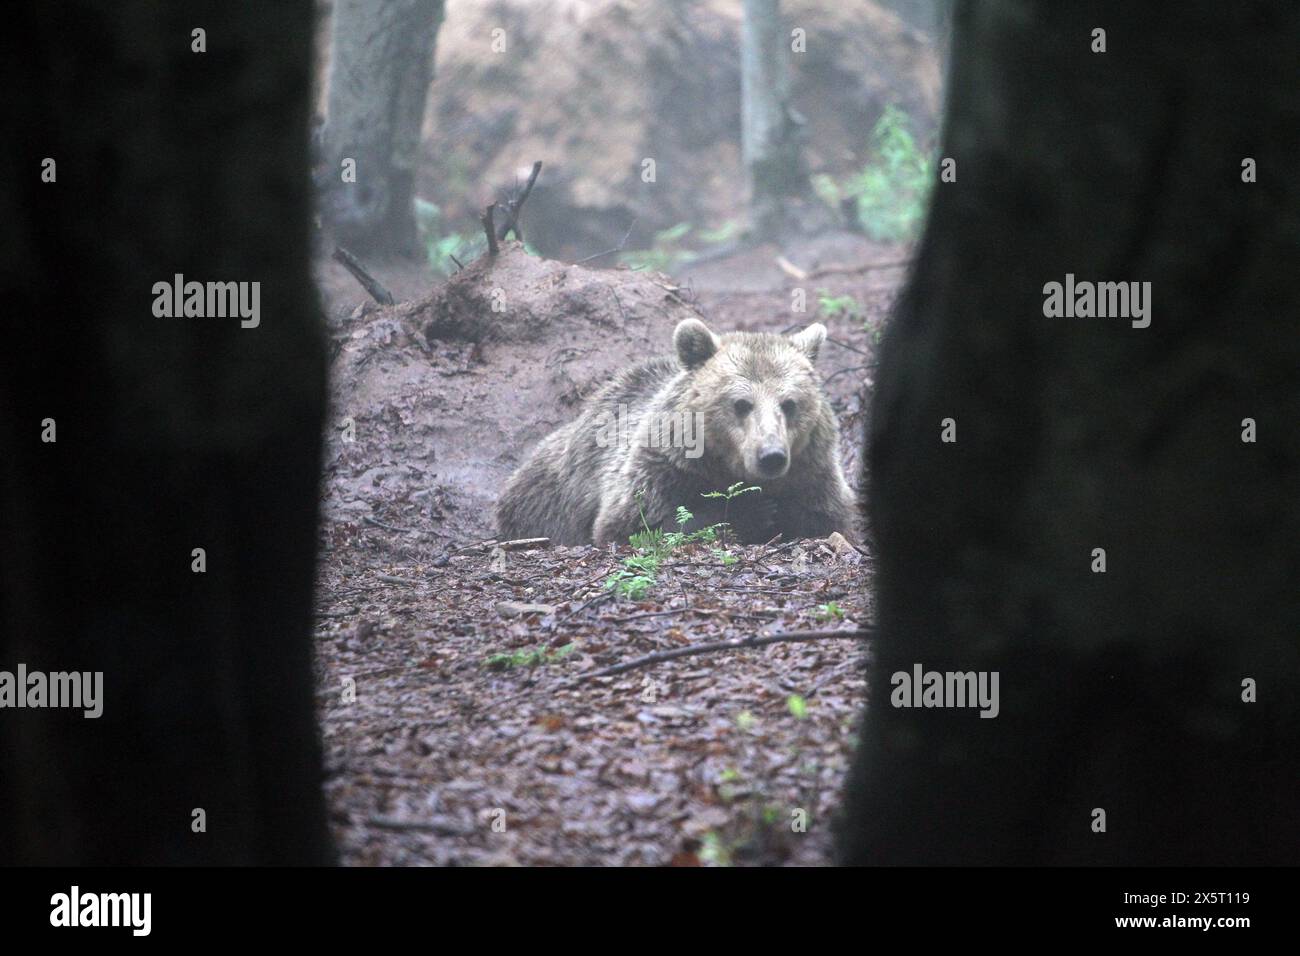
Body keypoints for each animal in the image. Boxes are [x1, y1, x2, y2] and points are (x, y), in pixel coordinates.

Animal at [496, 318, 857, 547]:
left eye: (789, 403)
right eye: (741, 403)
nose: (771, 456)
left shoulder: (812, 473)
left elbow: (828, 517)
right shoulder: (663, 466)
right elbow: (636, 522)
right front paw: (753, 512)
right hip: (547, 494)